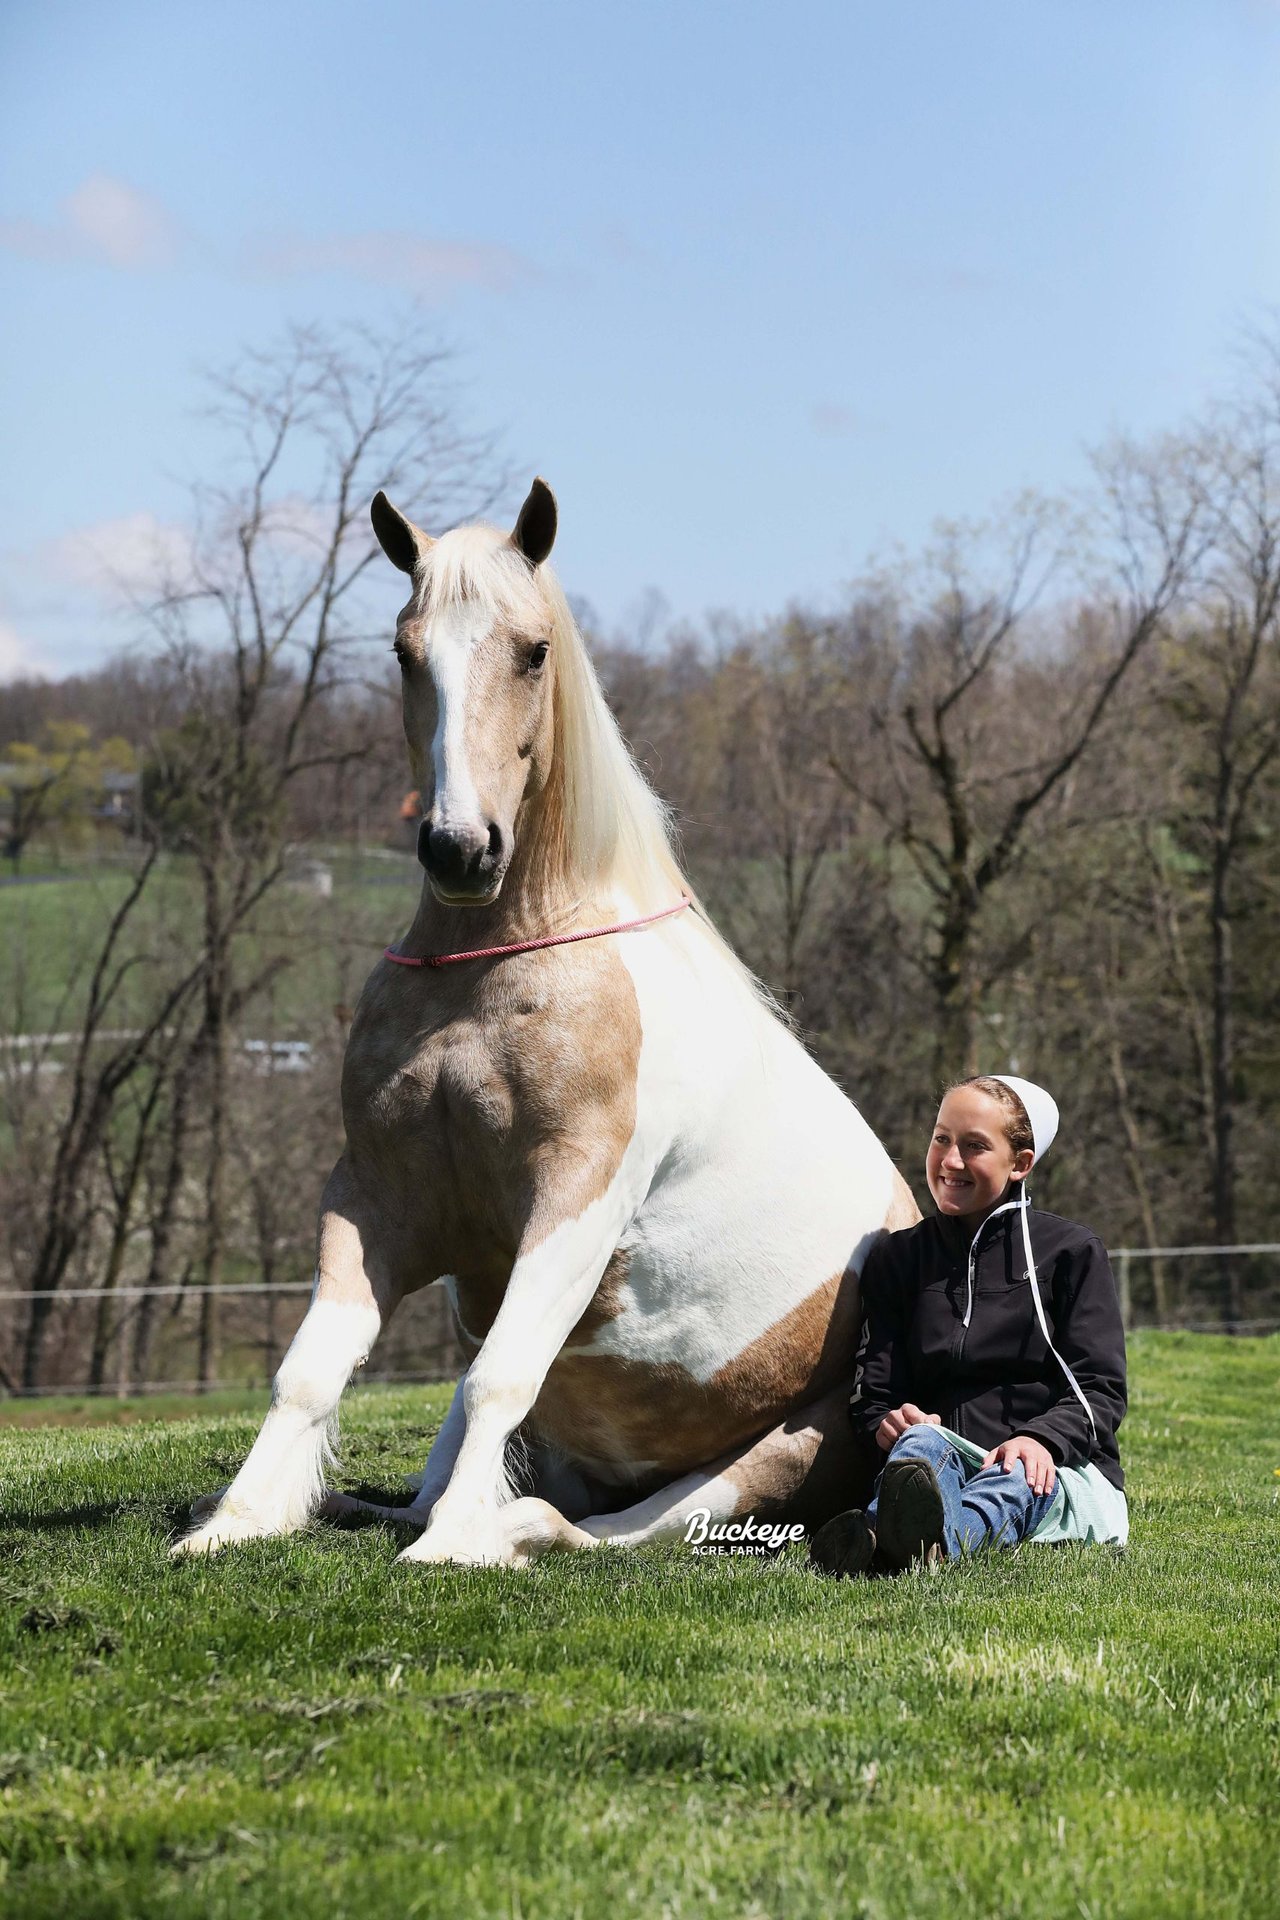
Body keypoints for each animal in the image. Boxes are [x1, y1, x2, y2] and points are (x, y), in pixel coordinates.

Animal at [172, 479, 918, 1567]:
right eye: (404, 651)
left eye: (531, 651)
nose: (459, 848)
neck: (492, 971)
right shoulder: (376, 1199)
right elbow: (311, 1368)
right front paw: (237, 1521)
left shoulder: (574, 1200)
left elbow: (501, 1374)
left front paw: (449, 1548)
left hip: (768, 1460)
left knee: (608, 1528)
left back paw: (502, 1527)